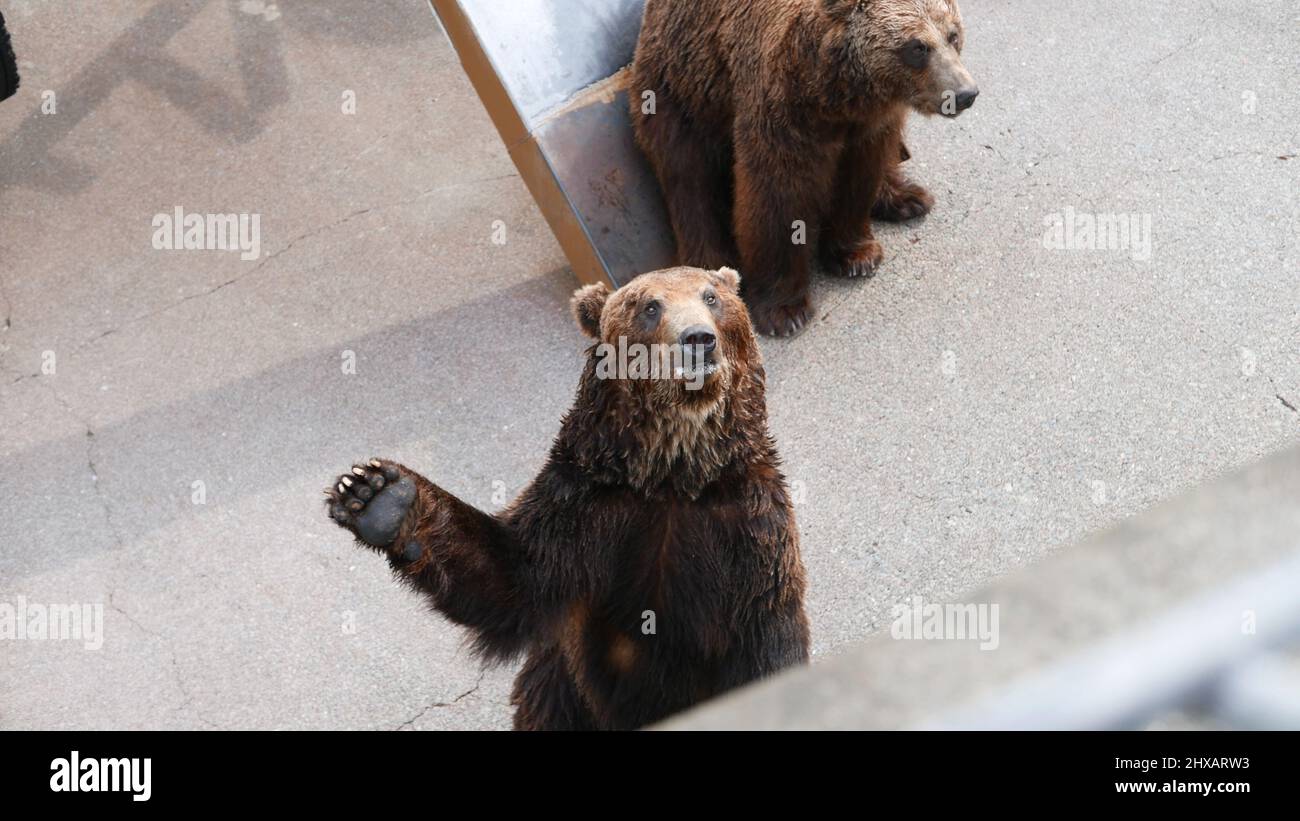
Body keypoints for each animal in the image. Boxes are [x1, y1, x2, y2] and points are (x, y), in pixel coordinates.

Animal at [325, 266, 810, 730]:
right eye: (650, 307)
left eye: (711, 296)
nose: (698, 340)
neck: (673, 475)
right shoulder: (586, 507)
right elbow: (513, 576)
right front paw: (379, 495)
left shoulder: (749, 531)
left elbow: (768, 640)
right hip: (562, 690)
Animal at [630, 0, 979, 337]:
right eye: (917, 47)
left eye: (953, 35)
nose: (965, 94)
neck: (837, 94)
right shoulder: (783, 113)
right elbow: (777, 198)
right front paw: (785, 310)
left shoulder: (869, 124)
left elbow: (861, 173)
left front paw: (858, 254)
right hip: (684, 91)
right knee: (690, 184)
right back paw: (706, 266)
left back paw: (906, 197)